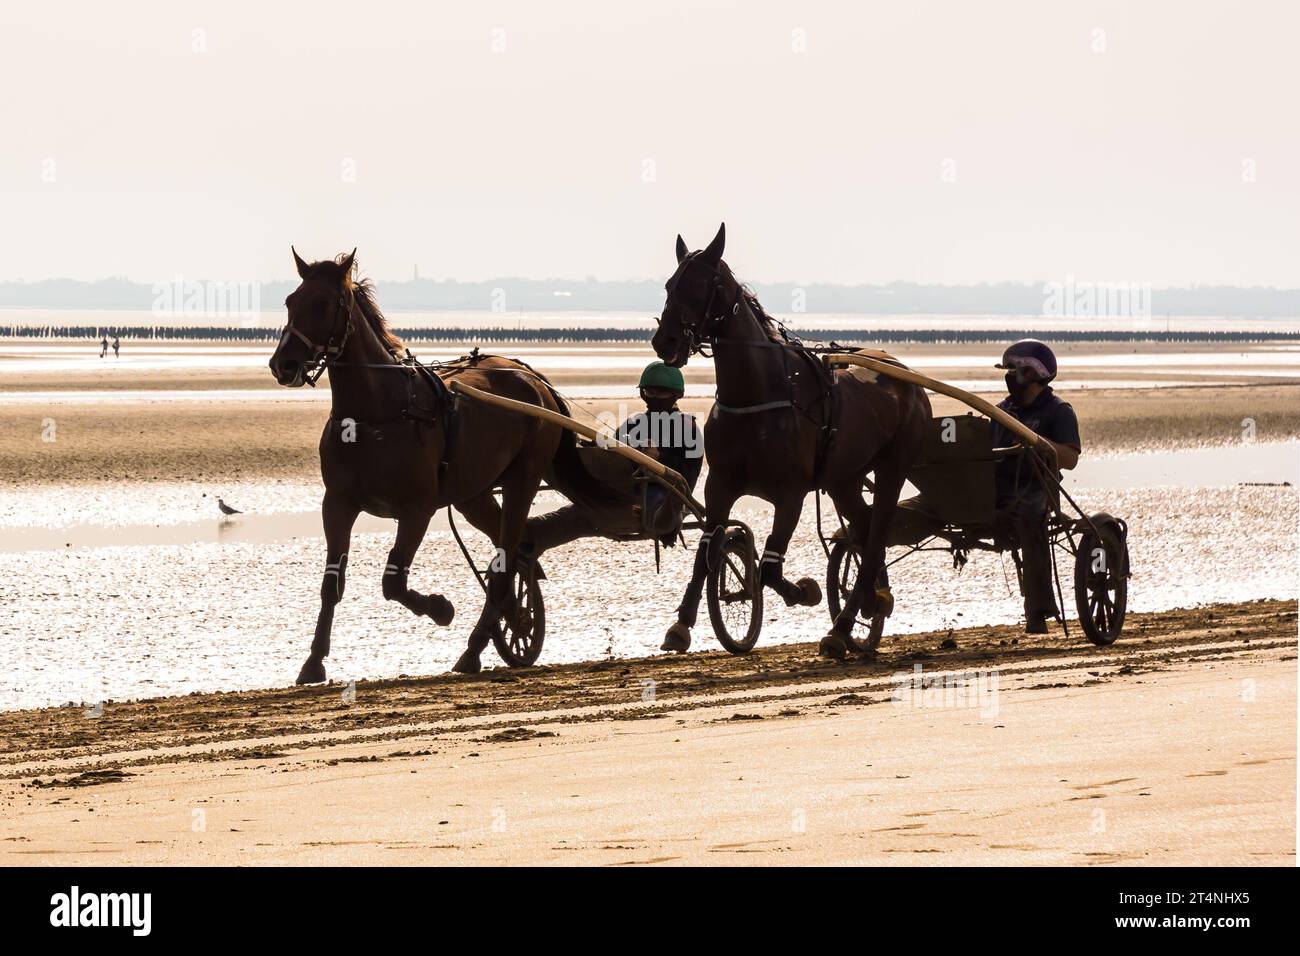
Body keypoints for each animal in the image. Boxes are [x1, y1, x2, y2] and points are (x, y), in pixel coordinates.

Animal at [268, 248, 594, 679]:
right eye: (291, 301)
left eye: (322, 303)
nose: (283, 364)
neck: (376, 416)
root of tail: (534, 379)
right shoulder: (337, 504)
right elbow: (331, 584)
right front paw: (314, 661)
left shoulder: (417, 509)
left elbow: (393, 584)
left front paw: (441, 608)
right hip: (473, 494)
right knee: (518, 554)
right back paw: (516, 617)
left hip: (522, 479)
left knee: (507, 559)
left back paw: (477, 646)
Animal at [651, 224, 933, 658]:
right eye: (669, 283)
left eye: (698, 283)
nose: (664, 341)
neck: (757, 395)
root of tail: (904, 374)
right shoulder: (720, 485)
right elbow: (707, 551)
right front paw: (681, 625)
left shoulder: (791, 493)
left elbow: (769, 567)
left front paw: (803, 590)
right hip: (844, 479)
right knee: (864, 530)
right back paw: (873, 601)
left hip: (893, 466)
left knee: (874, 539)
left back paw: (842, 627)